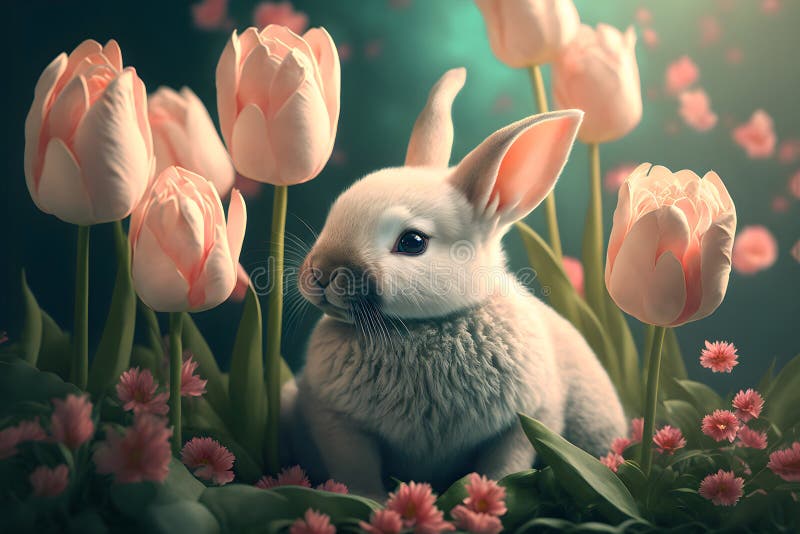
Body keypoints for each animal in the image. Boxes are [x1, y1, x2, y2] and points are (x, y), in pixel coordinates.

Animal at [280, 68, 627, 498]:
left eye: (412, 242)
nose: (321, 274)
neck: (420, 326)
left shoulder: (525, 422)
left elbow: (502, 468)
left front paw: (487, 497)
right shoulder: (335, 421)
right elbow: (356, 474)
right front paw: (376, 504)